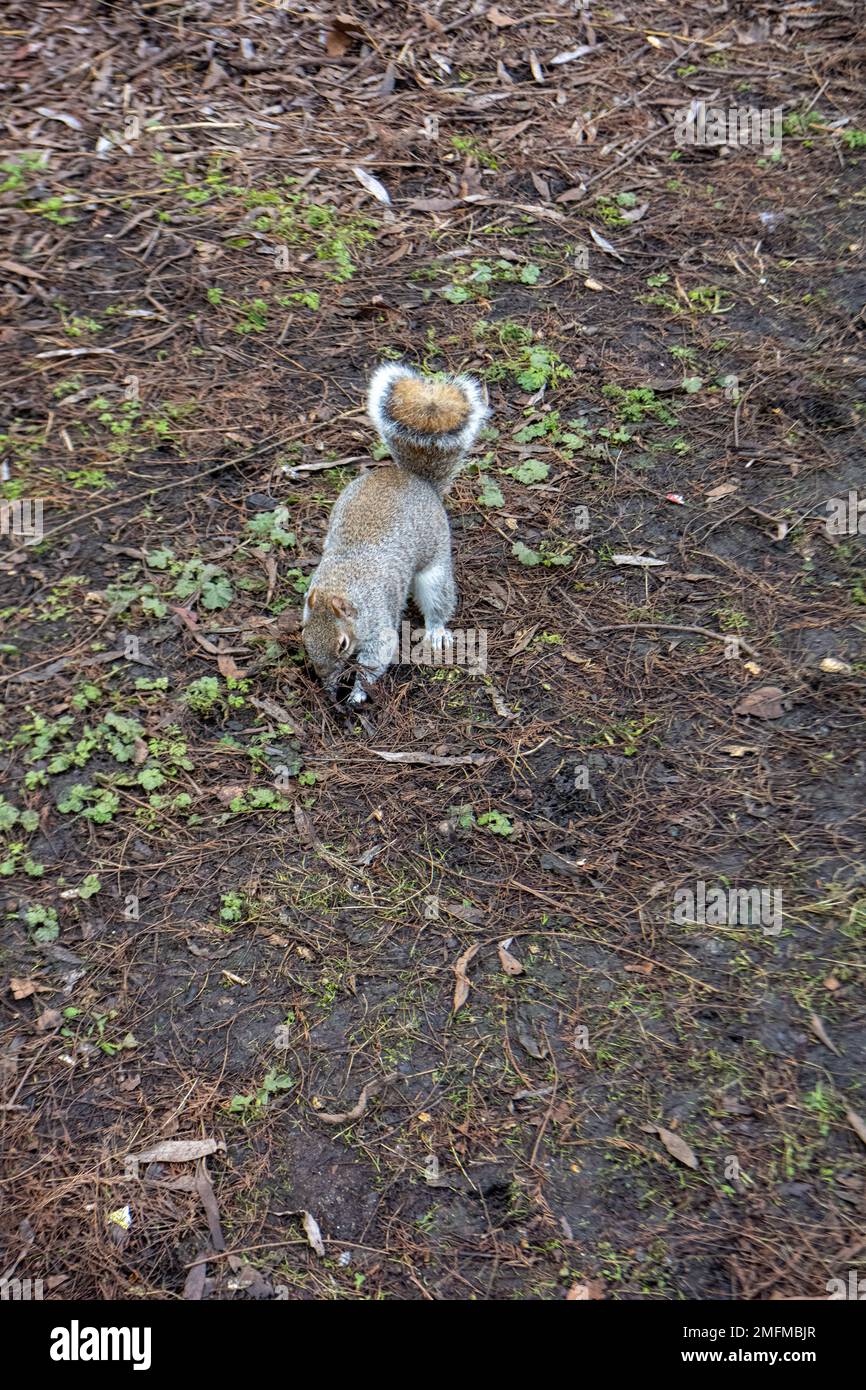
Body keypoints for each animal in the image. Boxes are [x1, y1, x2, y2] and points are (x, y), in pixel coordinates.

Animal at [302, 362, 488, 705]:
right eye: (304, 635)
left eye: (343, 644)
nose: (322, 674)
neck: (341, 585)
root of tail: (416, 480)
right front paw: (332, 685)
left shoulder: (379, 625)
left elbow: (376, 658)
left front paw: (357, 693)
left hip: (434, 567)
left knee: (438, 602)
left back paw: (436, 632)